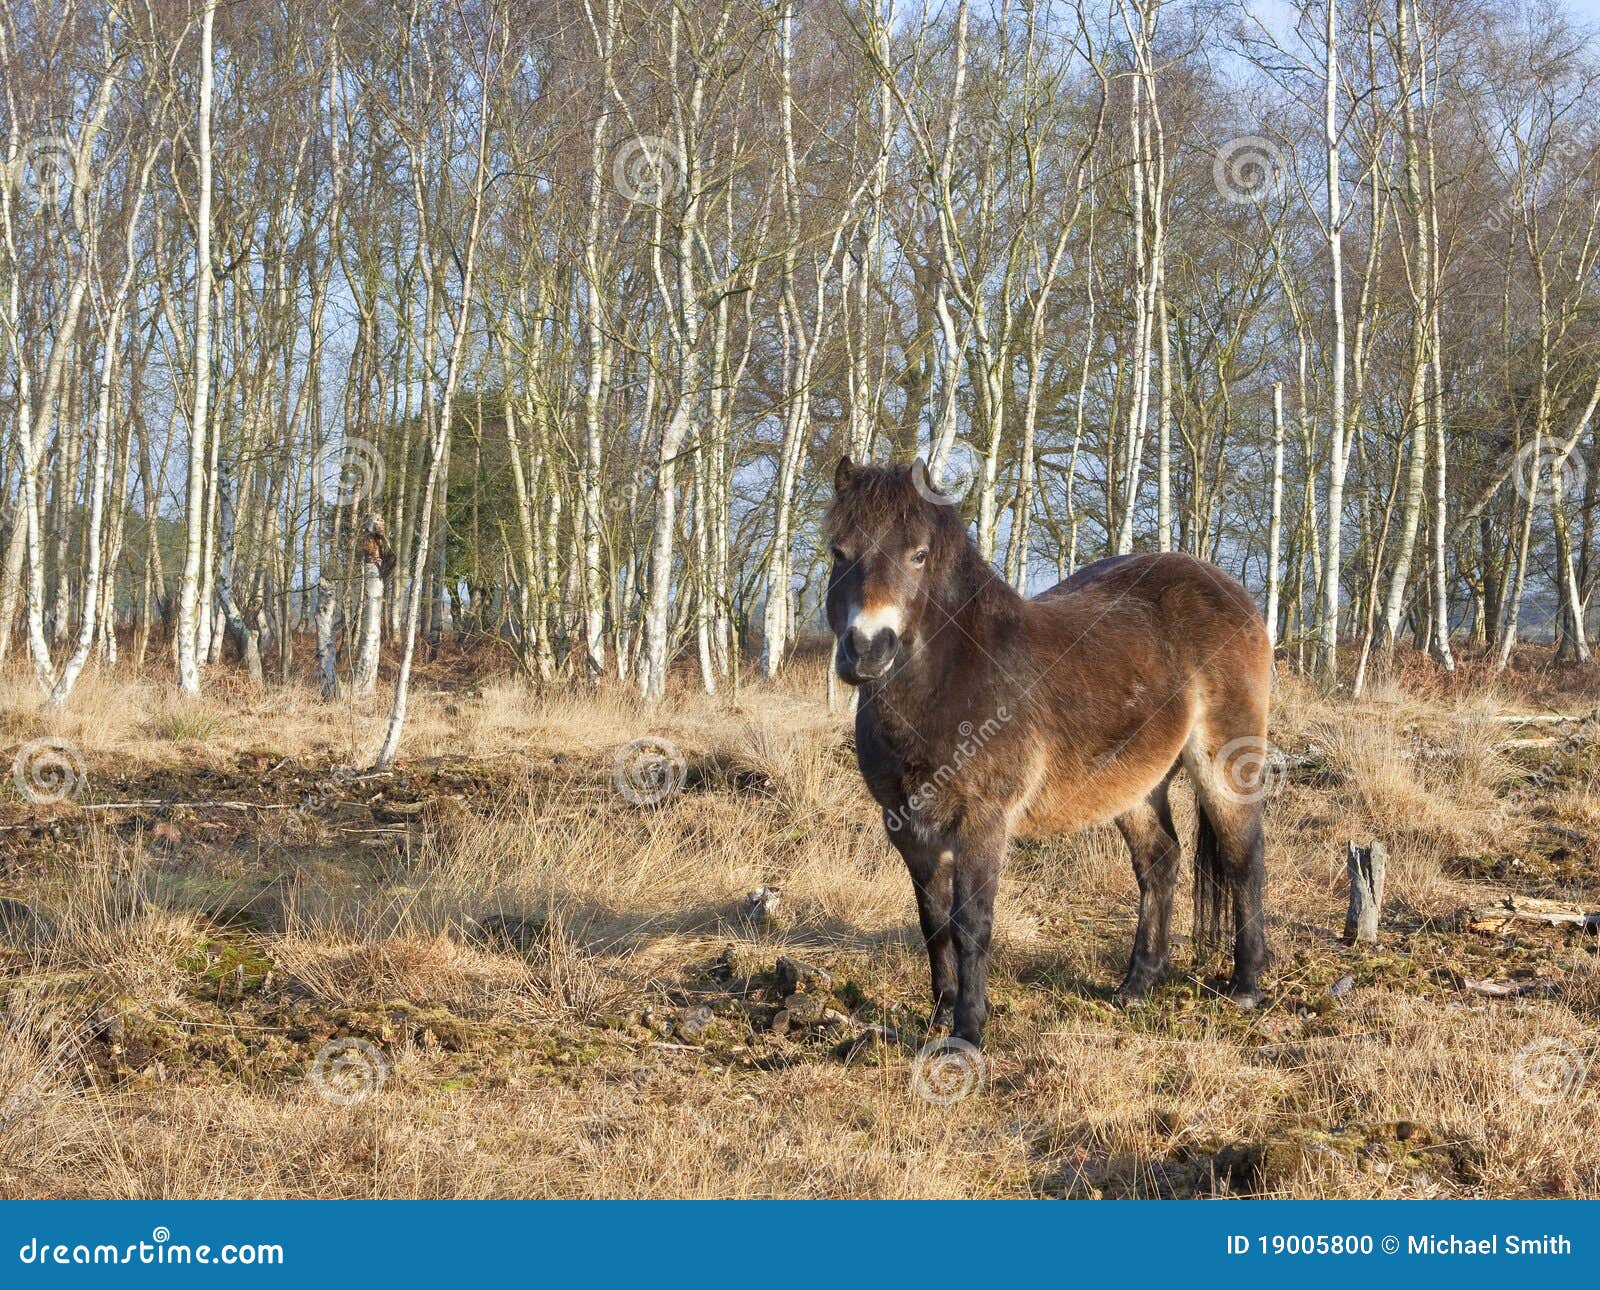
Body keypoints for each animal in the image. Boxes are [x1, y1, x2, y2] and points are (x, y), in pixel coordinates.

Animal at [824, 457, 1273, 1048]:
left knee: (1243, 858)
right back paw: (1135, 987)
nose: (867, 650)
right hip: (1132, 786)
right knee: (1159, 862)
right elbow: (933, 922)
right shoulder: (907, 828)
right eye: (839, 551)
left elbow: (971, 924)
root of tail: (1229, 590)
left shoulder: (982, 822)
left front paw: (968, 1031)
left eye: (918, 554)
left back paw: (1245, 985)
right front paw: (941, 1014)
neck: (953, 681)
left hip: (1224, 764)